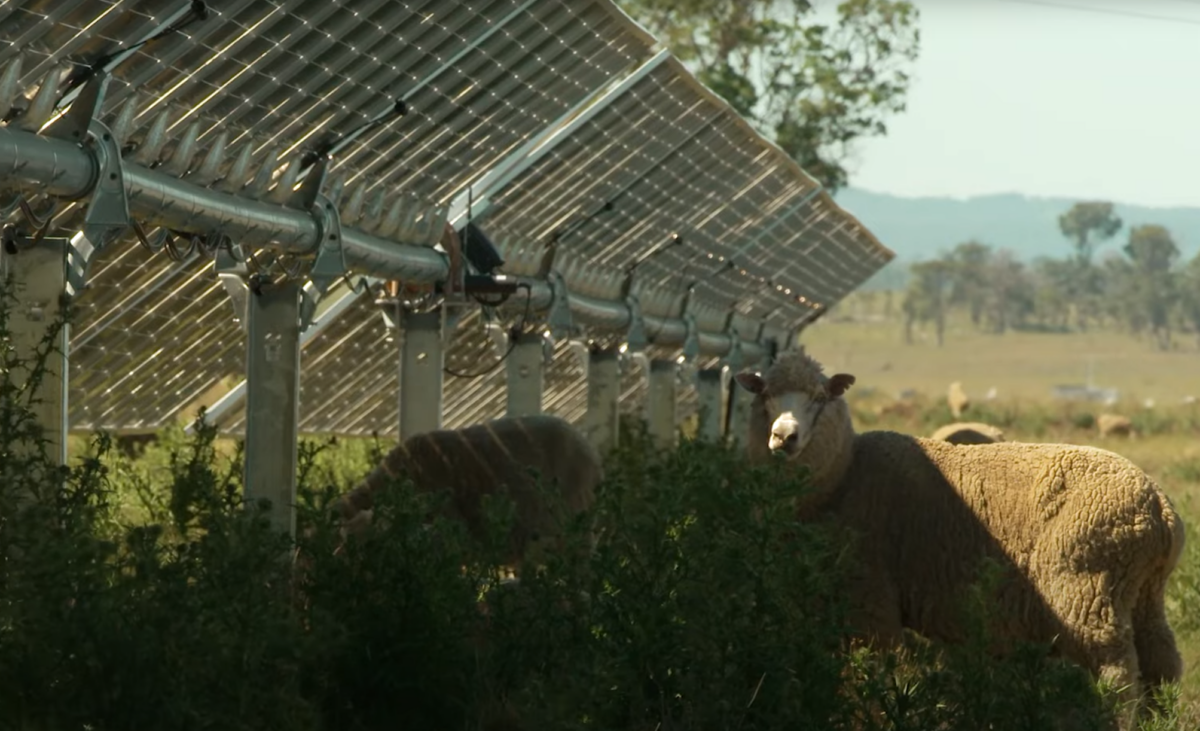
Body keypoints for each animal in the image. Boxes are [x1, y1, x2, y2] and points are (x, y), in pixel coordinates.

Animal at [735, 348, 1185, 724]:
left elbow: (872, 677)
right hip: (1142, 594)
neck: (844, 475)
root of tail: (1159, 508)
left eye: (819, 398)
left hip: (1087, 593)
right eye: (766, 394)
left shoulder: (870, 601)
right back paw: (1163, 719)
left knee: (1118, 675)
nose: (783, 437)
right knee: (1162, 665)